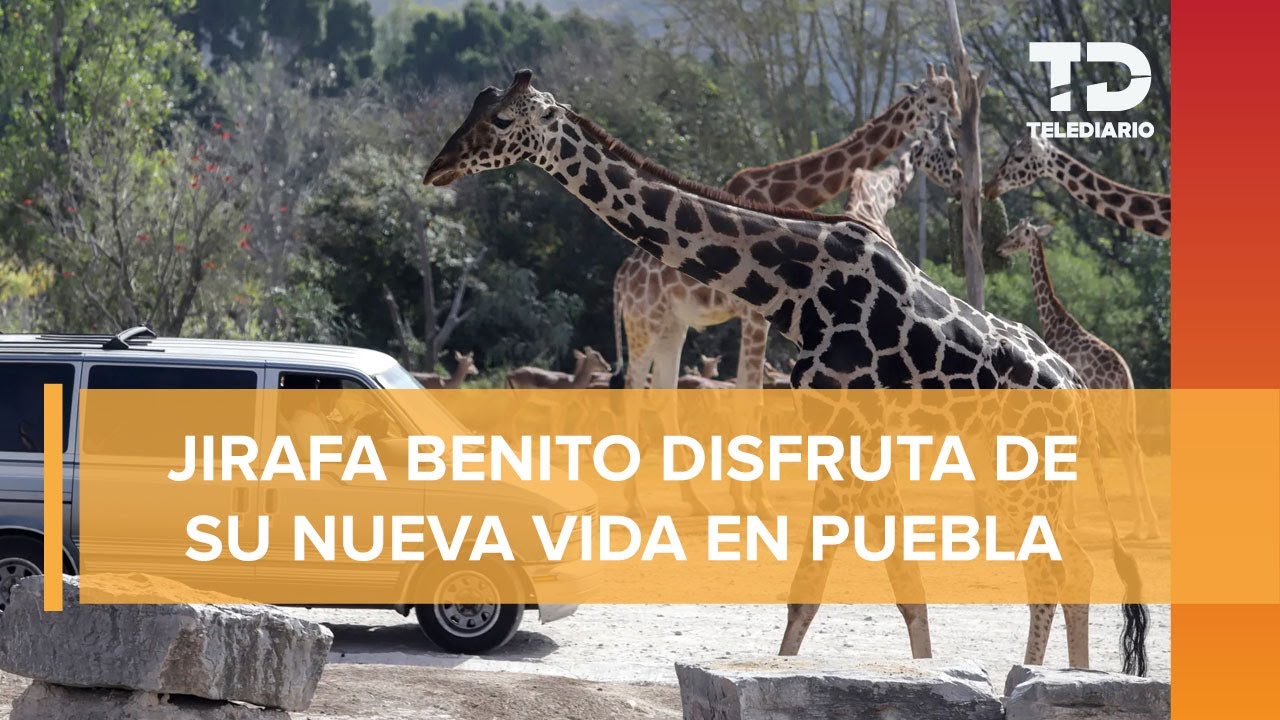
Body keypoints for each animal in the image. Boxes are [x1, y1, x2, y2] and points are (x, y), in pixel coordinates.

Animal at [612, 65, 960, 395]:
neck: (786, 194)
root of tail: (620, 284)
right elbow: (750, 387)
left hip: (672, 325)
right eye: (933, 98)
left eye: (952, 91)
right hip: (643, 322)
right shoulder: (755, 314)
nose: (957, 116)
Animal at [999, 219, 1161, 539]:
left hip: (1109, 411)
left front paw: (1067, 517)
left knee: (1129, 450)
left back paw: (1142, 525)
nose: (1000, 248)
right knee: (1134, 449)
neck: (1054, 321)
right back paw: (1147, 524)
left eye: (1015, 235)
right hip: (1125, 409)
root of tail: (1125, 375)